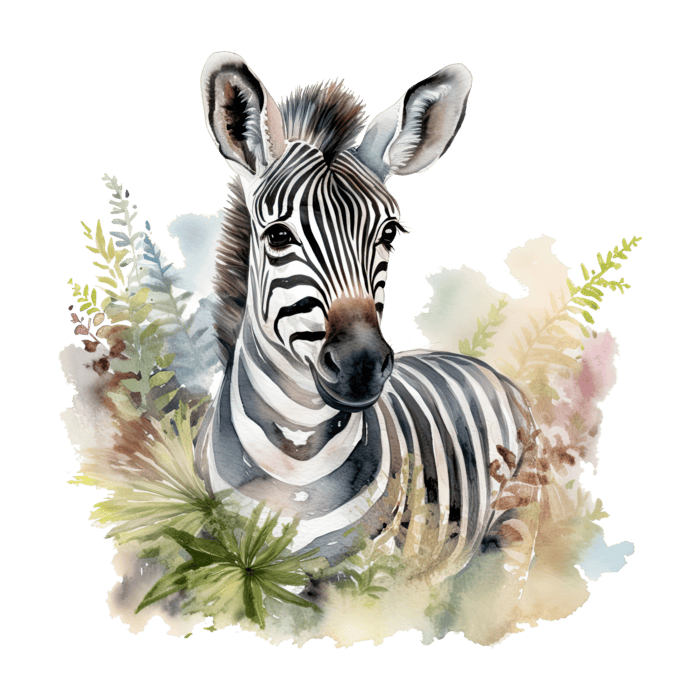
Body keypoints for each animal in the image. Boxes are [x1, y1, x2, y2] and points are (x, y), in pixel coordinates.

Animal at [195, 52, 540, 584]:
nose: (360, 366)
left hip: (514, 528)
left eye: (389, 233)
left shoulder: (367, 573)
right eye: (277, 236)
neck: (296, 466)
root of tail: (486, 369)